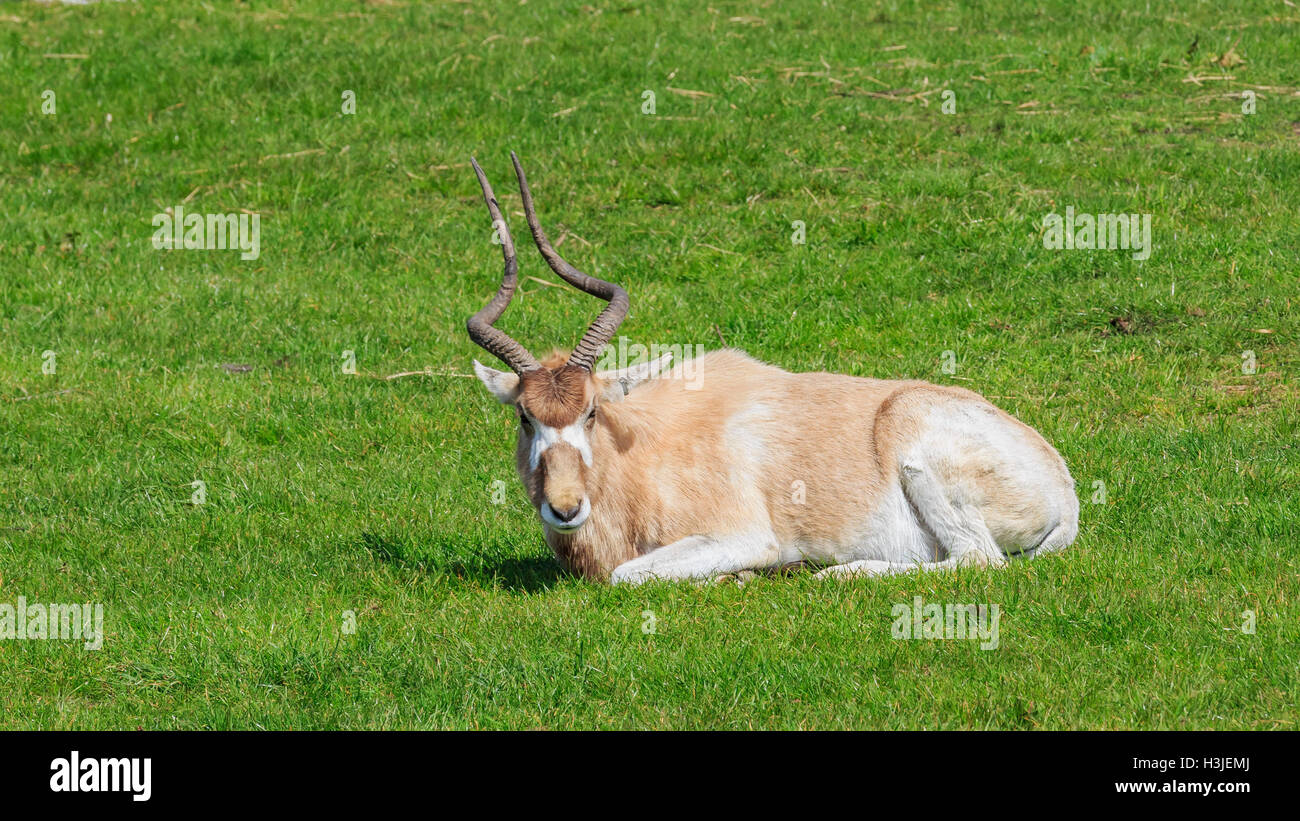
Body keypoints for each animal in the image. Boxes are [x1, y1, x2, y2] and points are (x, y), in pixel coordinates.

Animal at [467, 154, 1078, 585]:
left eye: (592, 411)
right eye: (525, 417)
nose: (565, 508)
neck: (641, 448)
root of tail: (1066, 492)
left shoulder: (740, 536)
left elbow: (627, 574)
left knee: (977, 560)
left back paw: (836, 572)